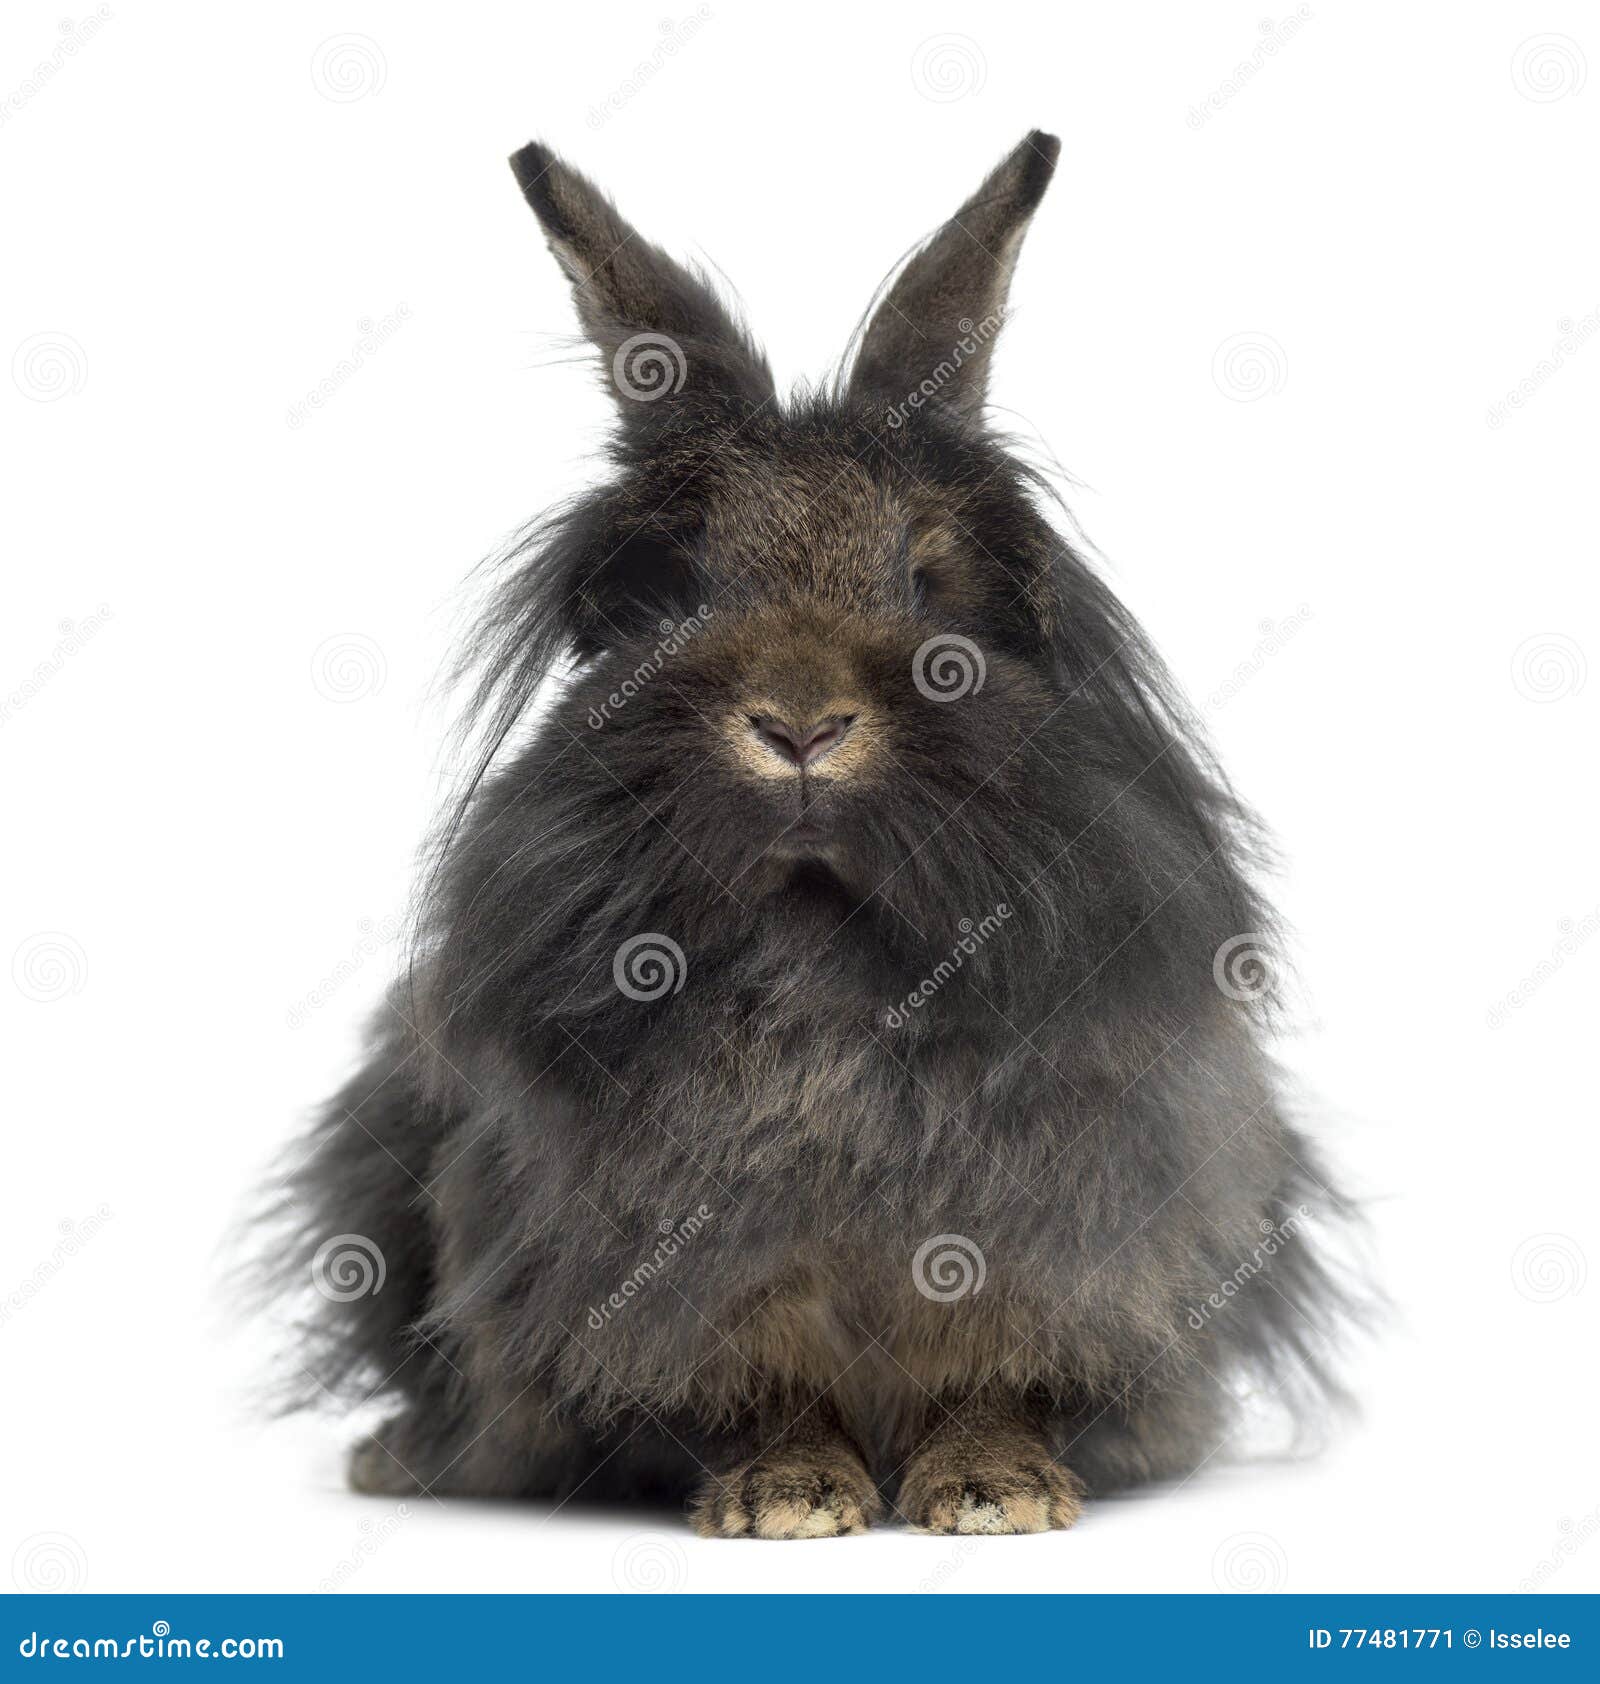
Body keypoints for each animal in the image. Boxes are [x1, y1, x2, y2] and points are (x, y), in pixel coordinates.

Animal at [270, 130, 1354, 1539]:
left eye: (931, 583)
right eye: (673, 595)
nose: (797, 725)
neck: (817, 953)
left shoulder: (1050, 1239)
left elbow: (996, 1368)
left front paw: (993, 1492)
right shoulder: (689, 1269)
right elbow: (758, 1378)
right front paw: (786, 1498)